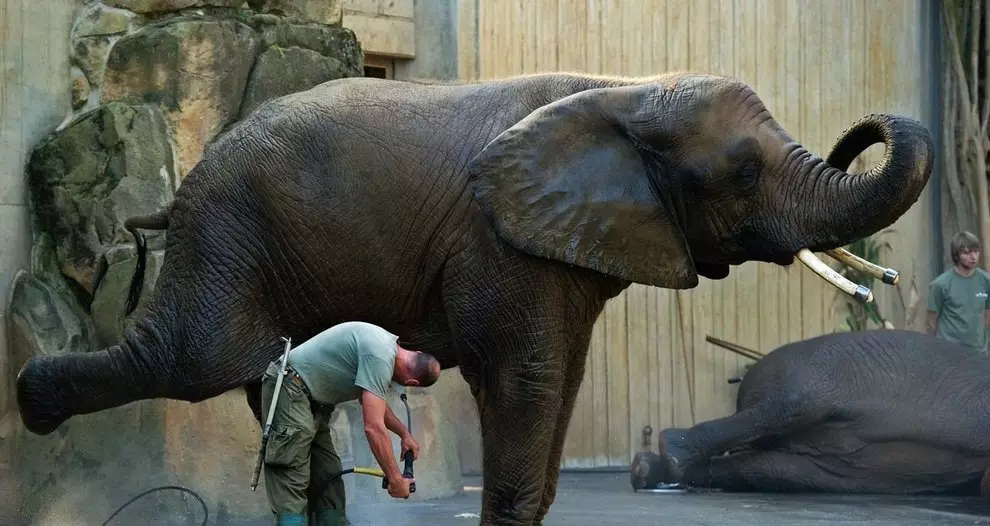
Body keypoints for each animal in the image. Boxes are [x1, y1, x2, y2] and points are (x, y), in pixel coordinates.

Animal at [15, 71, 936, 526]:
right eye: (740, 174)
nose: (860, 132)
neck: (629, 88)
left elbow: (557, 383)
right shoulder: (497, 236)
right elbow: (527, 379)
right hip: (224, 227)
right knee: (187, 358)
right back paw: (32, 407)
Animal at [632, 332, 990, 498]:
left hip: (823, 469)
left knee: (765, 467)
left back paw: (648, 470)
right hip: (818, 372)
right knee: (790, 404)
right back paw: (667, 453)